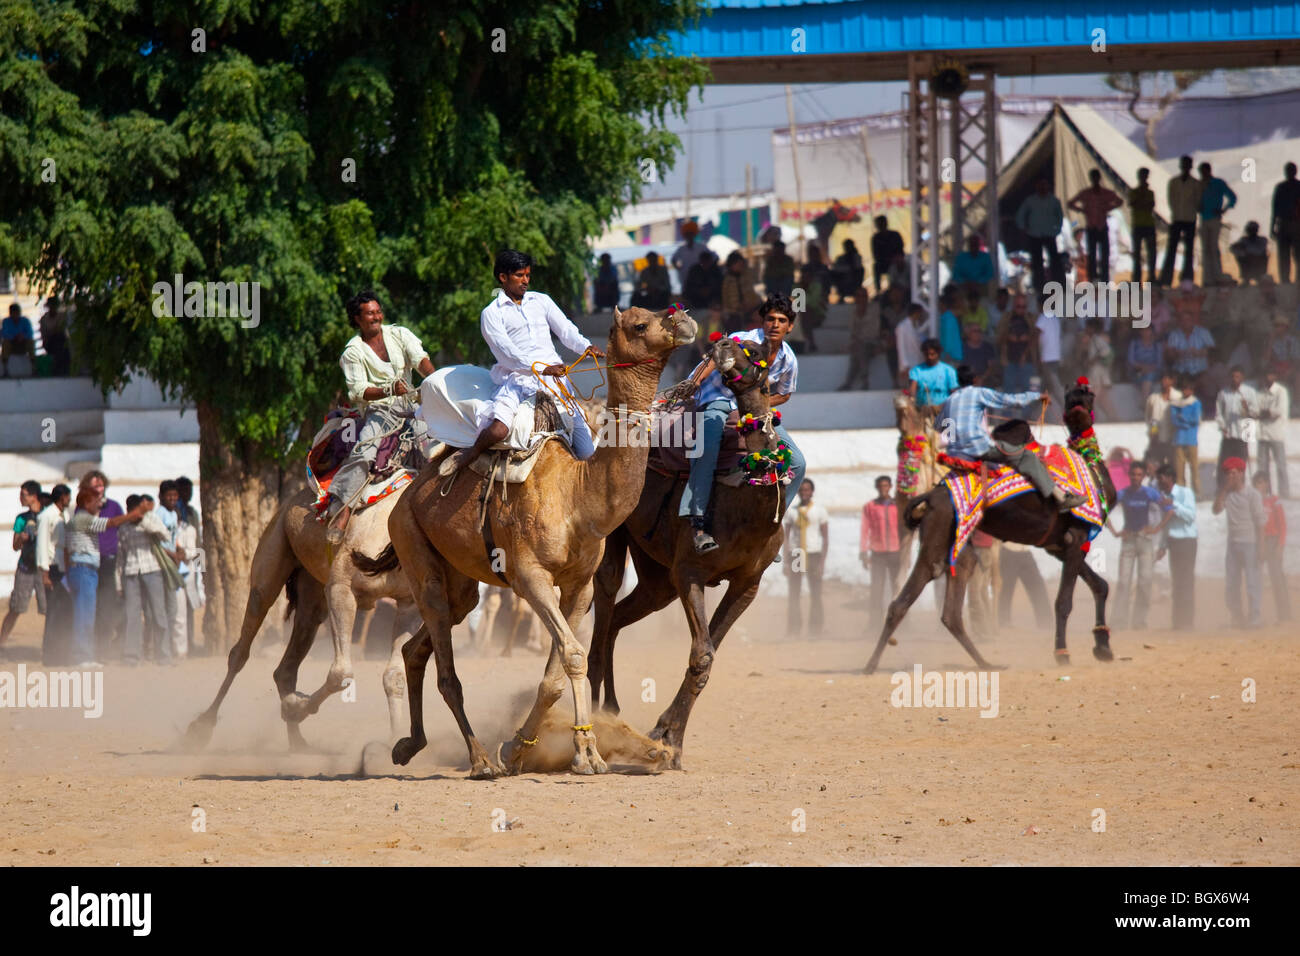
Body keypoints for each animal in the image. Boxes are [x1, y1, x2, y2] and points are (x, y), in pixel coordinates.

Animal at [185, 486, 420, 750]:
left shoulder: (408, 603)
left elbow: (394, 676)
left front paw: (394, 741)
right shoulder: (341, 589)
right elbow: (341, 674)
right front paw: (294, 707)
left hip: (311, 589)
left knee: (287, 664)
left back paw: (297, 742)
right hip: (272, 559)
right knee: (241, 648)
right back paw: (201, 726)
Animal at [357, 304, 698, 778]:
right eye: (640, 324)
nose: (684, 320)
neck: (578, 496)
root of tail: (406, 495)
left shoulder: (579, 586)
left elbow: (559, 670)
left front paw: (522, 747)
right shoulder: (529, 577)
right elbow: (572, 656)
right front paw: (583, 754)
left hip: (461, 582)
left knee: (415, 648)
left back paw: (409, 746)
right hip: (413, 545)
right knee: (446, 668)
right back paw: (479, 760)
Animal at [588, 333, 788, 767]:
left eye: (756, 355)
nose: (722, 344)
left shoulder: (748, 583)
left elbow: (707, 656)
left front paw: (669, 738)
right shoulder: (689, 571)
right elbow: (702, 654)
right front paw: (666, 741)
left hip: (656, 576)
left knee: (620, 616)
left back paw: (611, 711)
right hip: (616, 537)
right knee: (605, 599)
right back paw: (596, 718)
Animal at [863, 386, 1117, 673]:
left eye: (1087, 395)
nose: (1077, 406)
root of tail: (930, 494)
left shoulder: (1058, 545)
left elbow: (1100, 585)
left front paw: (1103, 647)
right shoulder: (1076, 537)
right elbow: (1063, 602)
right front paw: (1062, 653)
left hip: (955, 547)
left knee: (944, 608)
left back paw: (984, 662)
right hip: (939, 538)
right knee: (915, 596)